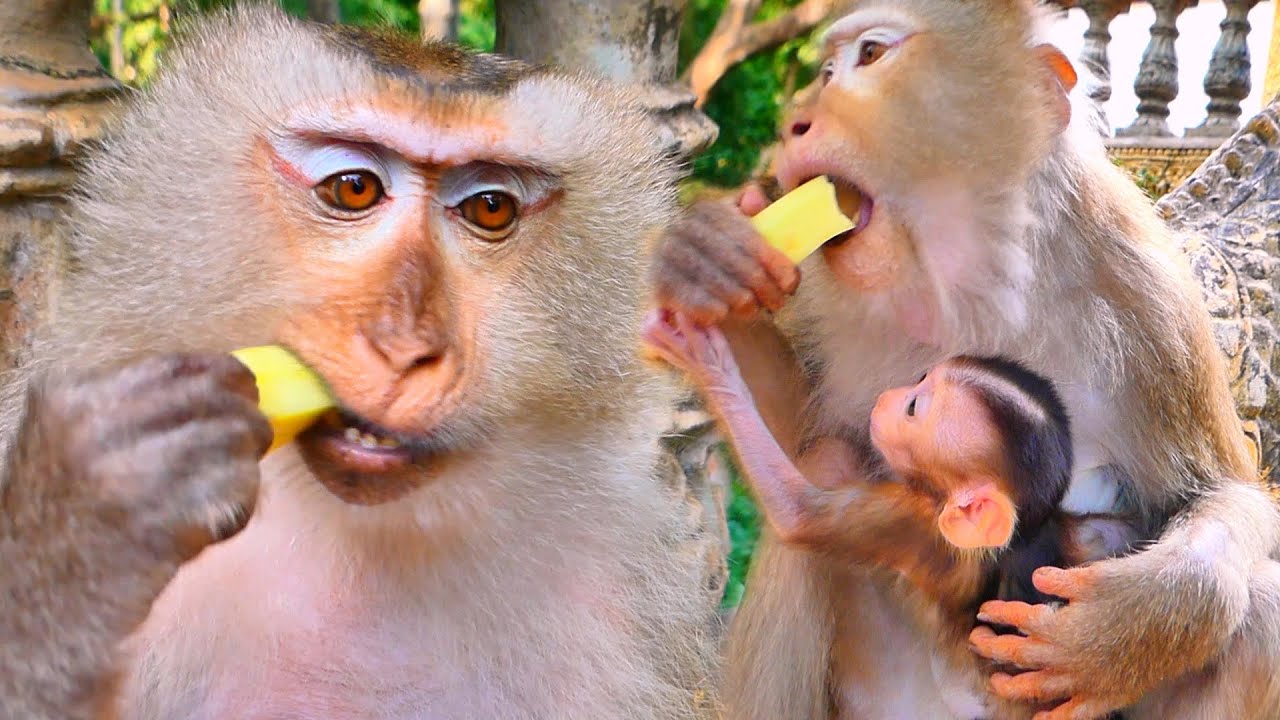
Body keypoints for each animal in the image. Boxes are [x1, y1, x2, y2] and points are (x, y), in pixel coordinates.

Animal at [649, 0, 1280, 718]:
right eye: (827, 70)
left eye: (871, 56)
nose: (793, 124)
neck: (969, 278)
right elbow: (806, 439)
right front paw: (705, 255)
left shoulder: (1149, 293)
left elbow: (1223, 491)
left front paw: (1135, 622)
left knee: (1260, 618)